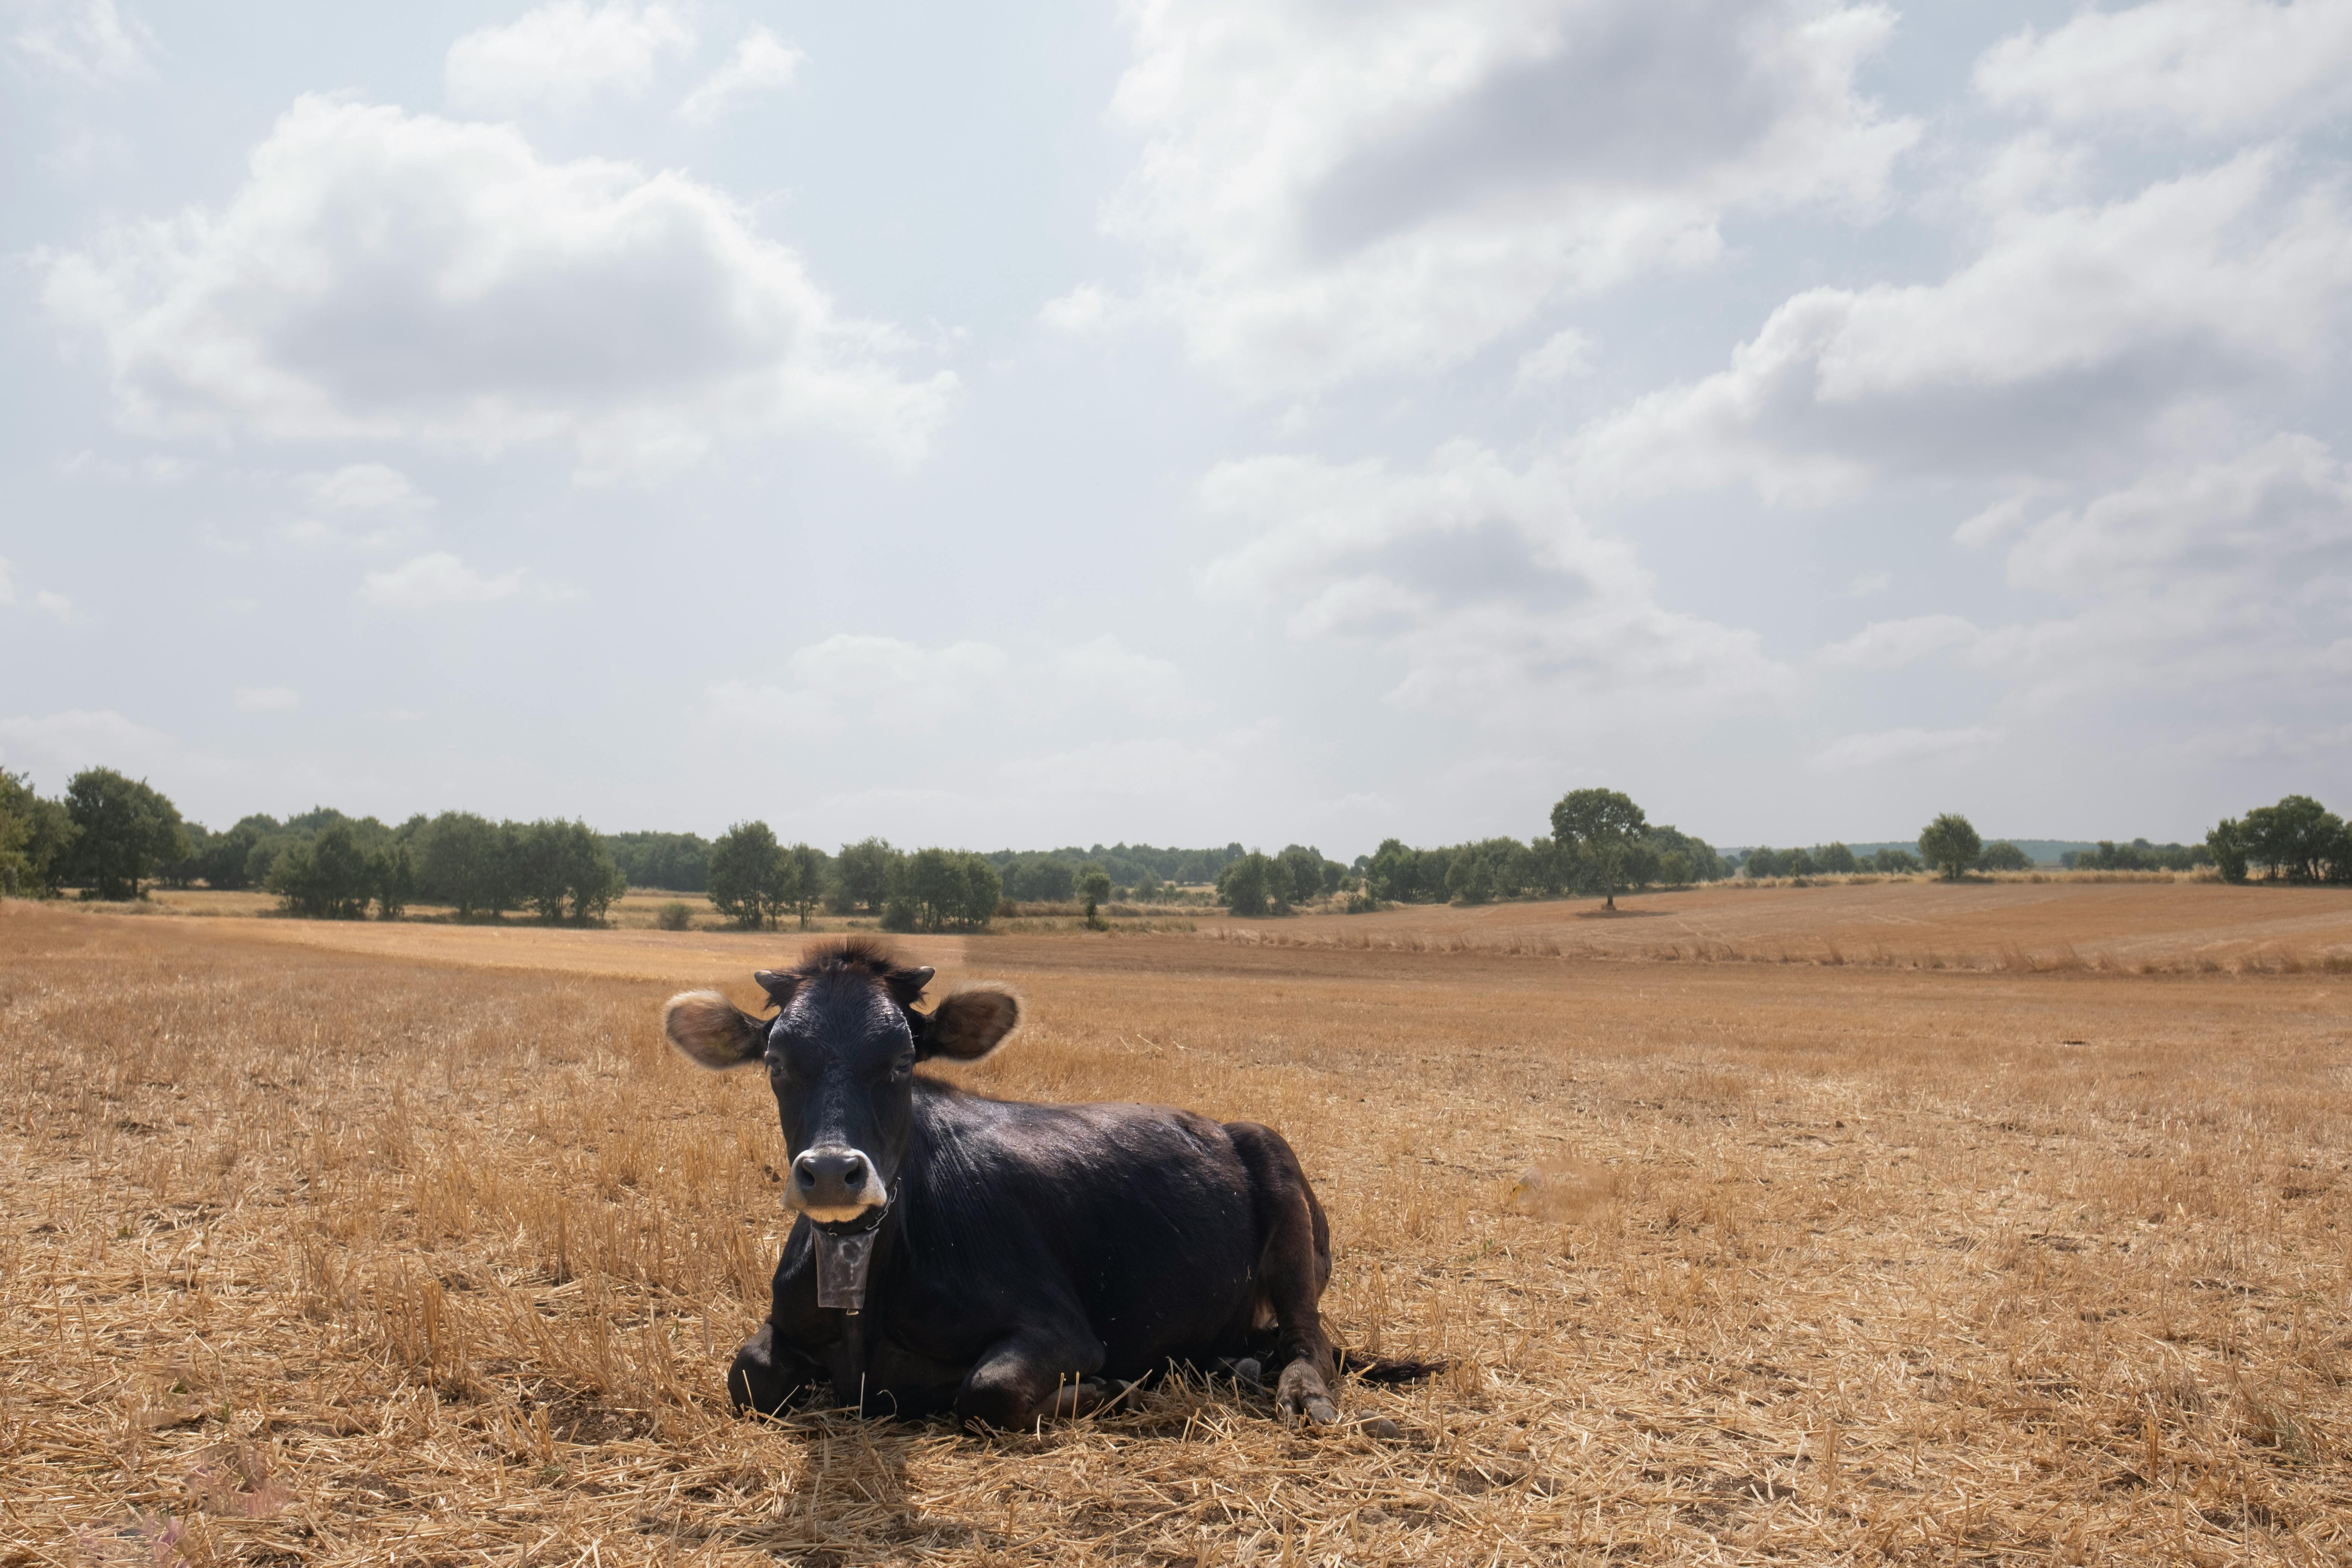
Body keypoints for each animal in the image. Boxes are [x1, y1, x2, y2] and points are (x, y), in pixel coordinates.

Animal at [660, 936, 1347, 1429]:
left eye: (903, 1060)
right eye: (776, 1062)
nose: (832, 1173)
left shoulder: (1060, 1329)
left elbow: (989, 1391)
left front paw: (1110, 1389)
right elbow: (747, 1377)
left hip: (1279, 1176)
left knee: (1307, 1339)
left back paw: (1301, 1394)